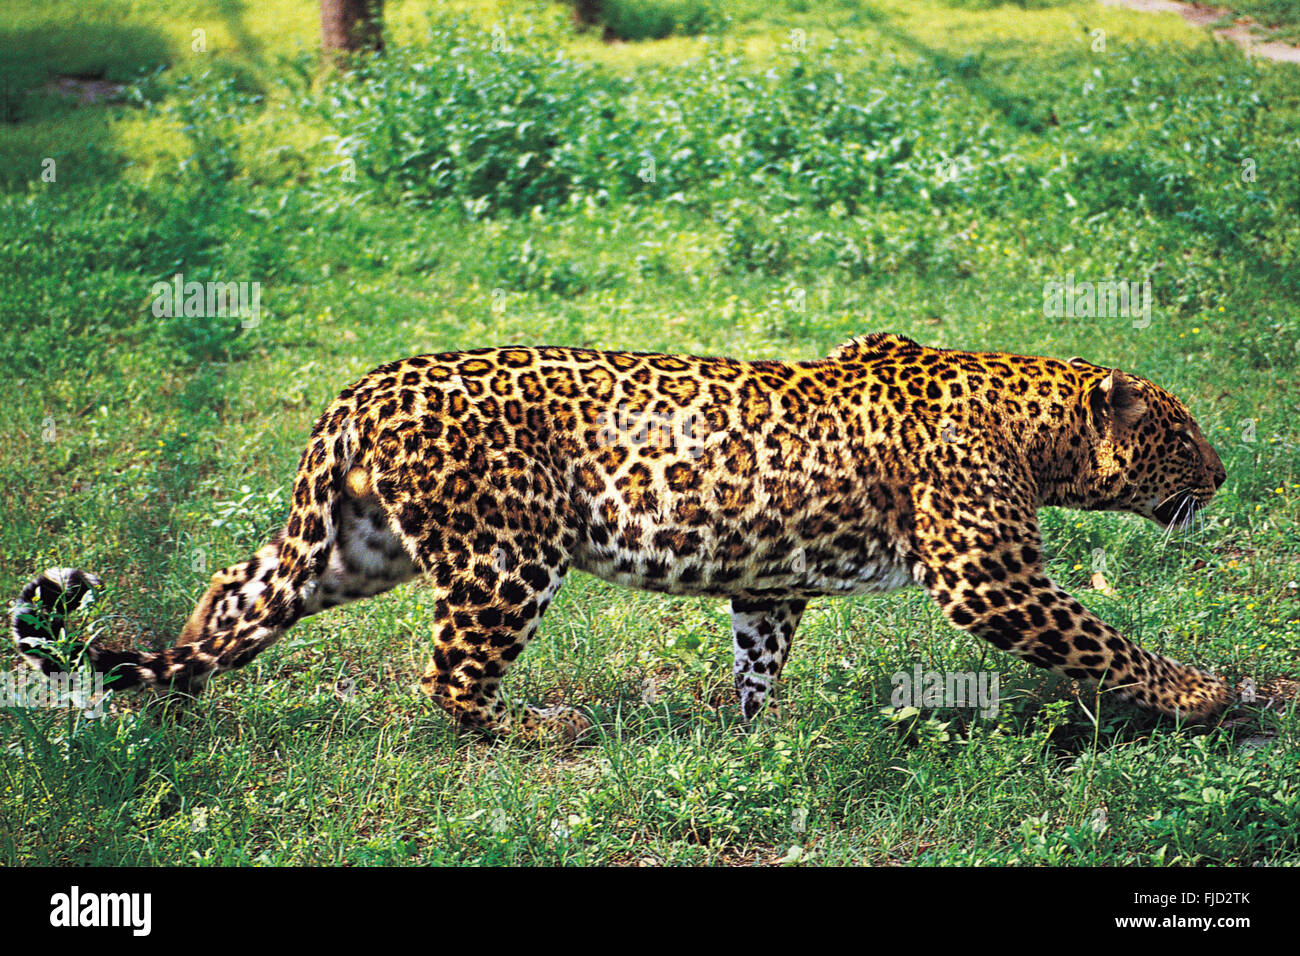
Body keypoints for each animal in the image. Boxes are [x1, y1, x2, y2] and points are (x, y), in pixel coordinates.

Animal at [11, 333, 1233, 740]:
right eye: (1181, 435)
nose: (1225, 475)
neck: (1032, 424)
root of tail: (362, 389)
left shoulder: (770, 584)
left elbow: (758, 659)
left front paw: (750, 741)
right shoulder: (989, 580)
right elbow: (1106, 640)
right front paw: (1204, 696)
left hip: (351, 546)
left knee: (234, 588)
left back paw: (175, 693)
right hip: (506, 557)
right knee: (448, 674)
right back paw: (537, 733)